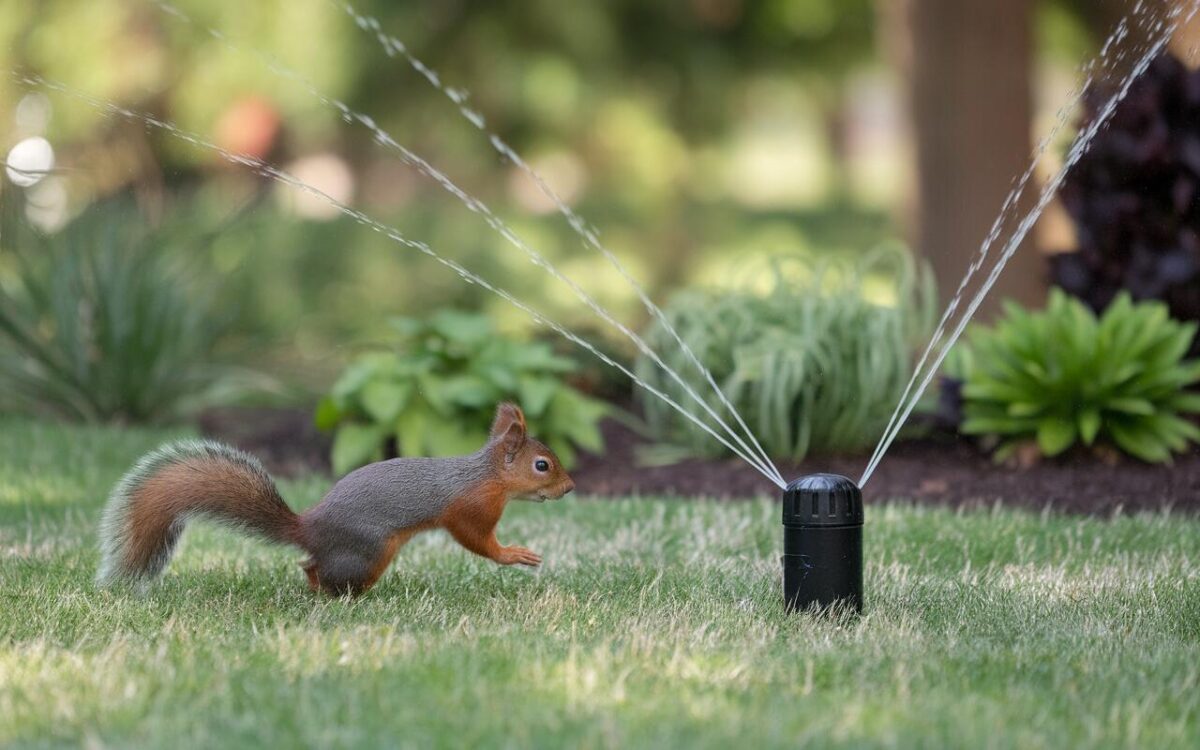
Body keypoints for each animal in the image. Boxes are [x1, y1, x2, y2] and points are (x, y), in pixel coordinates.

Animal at [96, 403, 575, 596]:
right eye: (542, 465)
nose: (570, 488)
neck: (486, 475)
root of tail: (308, 528)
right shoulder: (472, 508)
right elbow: (476, 540)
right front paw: (513, 555)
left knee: (309, 566)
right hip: (371, 550)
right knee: (322, 572)